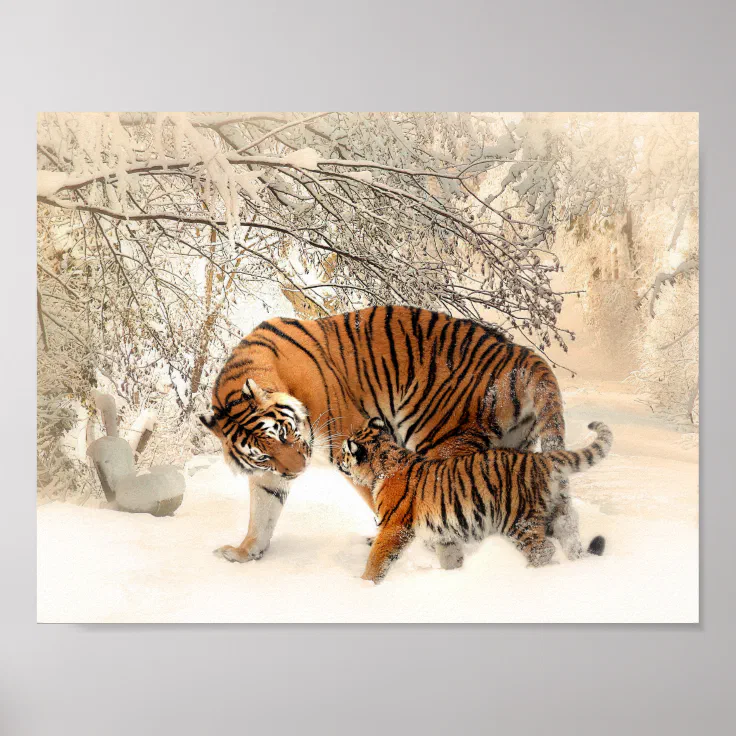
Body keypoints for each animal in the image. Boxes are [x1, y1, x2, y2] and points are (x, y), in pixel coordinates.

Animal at [200, 305, 588, 565]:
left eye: (283, 433)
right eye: (262, 454)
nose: (298, 471)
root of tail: (520, 353)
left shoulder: (350, 441)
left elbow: (384, 500)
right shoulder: (269, 474)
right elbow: (262, 512)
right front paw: (244, 553)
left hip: (441, 440)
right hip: (512, 448)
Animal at [339, 417, 612, 583]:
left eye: (344, 451)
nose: (338, 460)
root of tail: (541, 458)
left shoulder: (394, 527)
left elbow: (377, 558)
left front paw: (364, 585)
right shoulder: (444, 533)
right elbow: (450, 557)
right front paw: (454, 576)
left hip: (518, 521)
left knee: (543, 550)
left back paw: (529, 575)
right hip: (558, 514)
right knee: (570, 539)